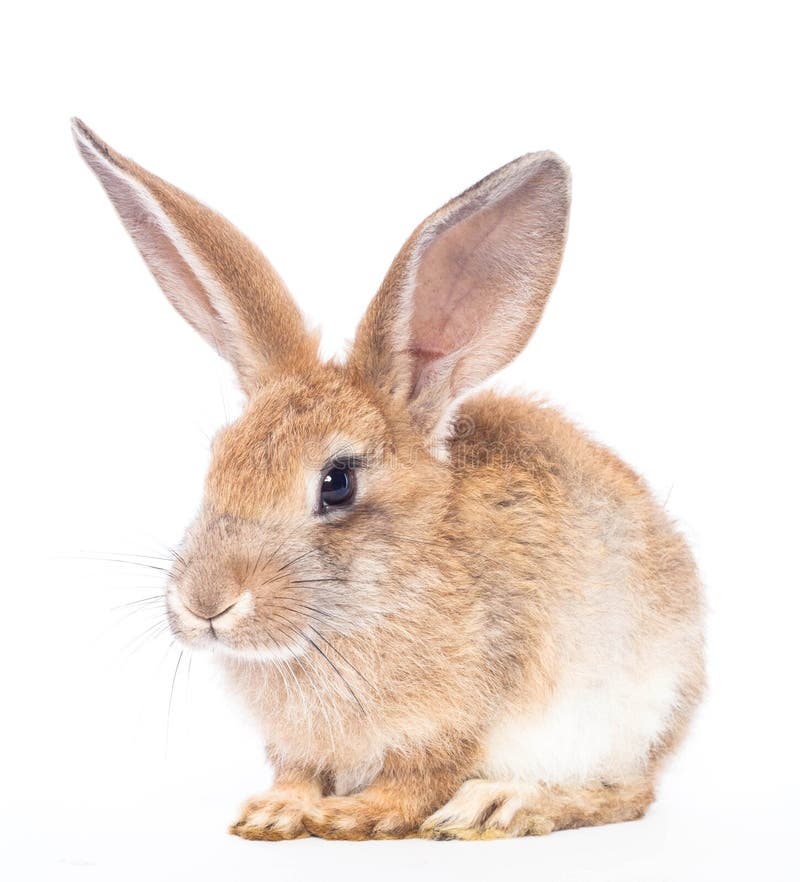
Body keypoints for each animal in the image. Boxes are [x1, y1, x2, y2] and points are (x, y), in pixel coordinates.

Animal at [73, 118, 705, 841]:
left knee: (626, 793)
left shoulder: (452, 723)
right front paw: (274, 812)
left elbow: (416, 782)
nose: (206, 604)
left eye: (337, 482)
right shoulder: (299, 746)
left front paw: (352, 816)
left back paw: (503, 804)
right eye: (217, 457)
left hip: (627, 714)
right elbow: (297, 772)